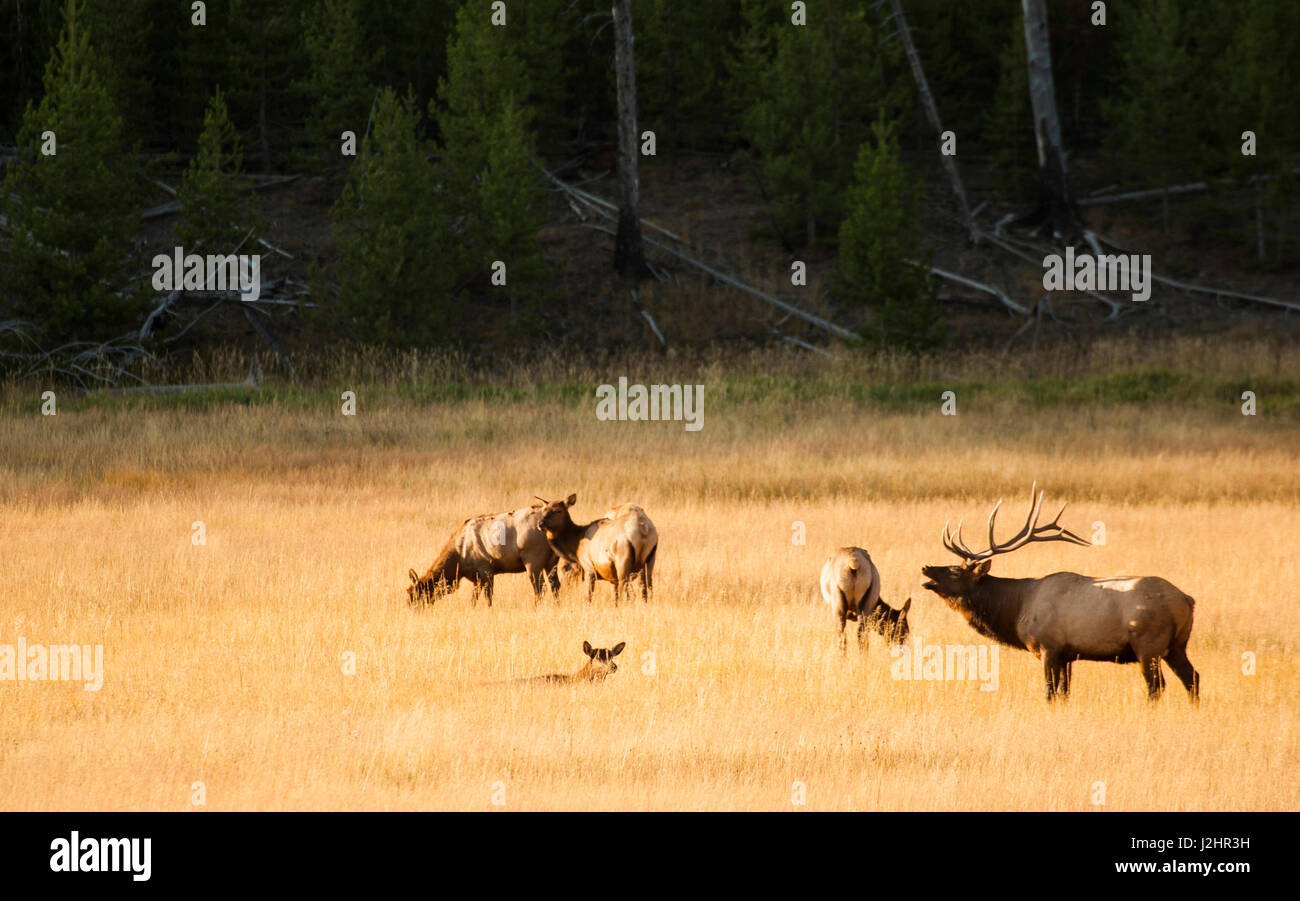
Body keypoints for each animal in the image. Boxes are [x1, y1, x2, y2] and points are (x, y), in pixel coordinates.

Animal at [920, 483, 1199, 703]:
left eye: (955, 571)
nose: (926, 567)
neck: (1017, 609)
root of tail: (1186, 600)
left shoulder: (1048, 647)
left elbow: (1049, 693)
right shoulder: (1067, 655)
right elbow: (1064, 693)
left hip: (1148, 643)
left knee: (1156, 685)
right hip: (1177, 645)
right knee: (1192, 677)